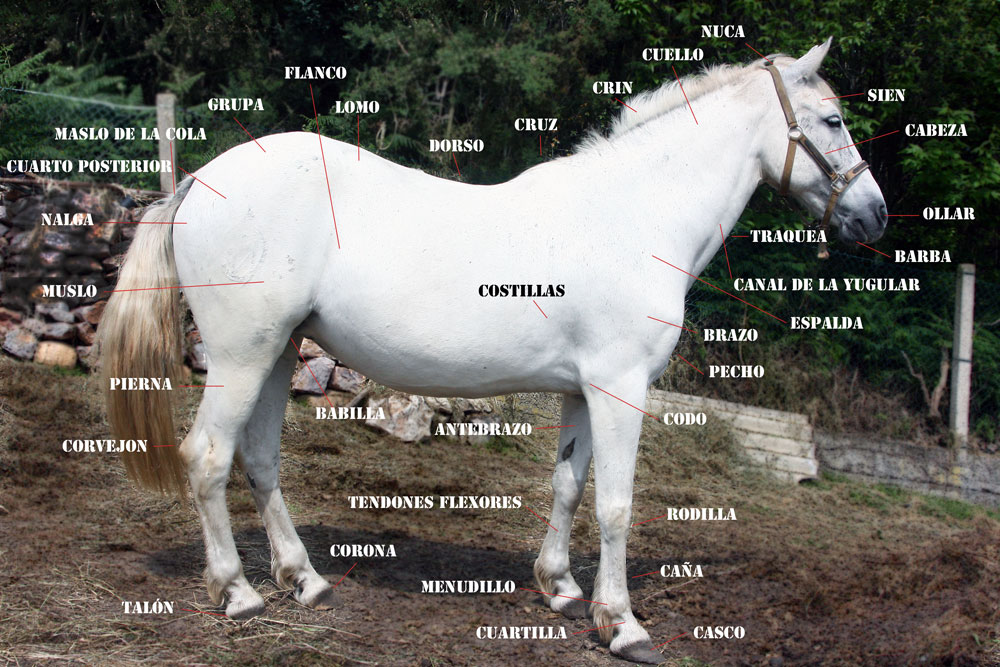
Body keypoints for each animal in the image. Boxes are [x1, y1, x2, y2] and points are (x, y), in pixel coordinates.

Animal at [99, 38, 887, 663]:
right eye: (833, 120)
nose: (873, 213)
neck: (632, 215)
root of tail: (200, 181)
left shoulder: (580, 391)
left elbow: (568, 484)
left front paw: (561, 588)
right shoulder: (620, 386)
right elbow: (617, 503)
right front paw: (623, 626)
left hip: (279, 350)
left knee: (260, 458)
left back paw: (306, 580)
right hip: (241, 355)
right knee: (207, 457)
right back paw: (237, 593)